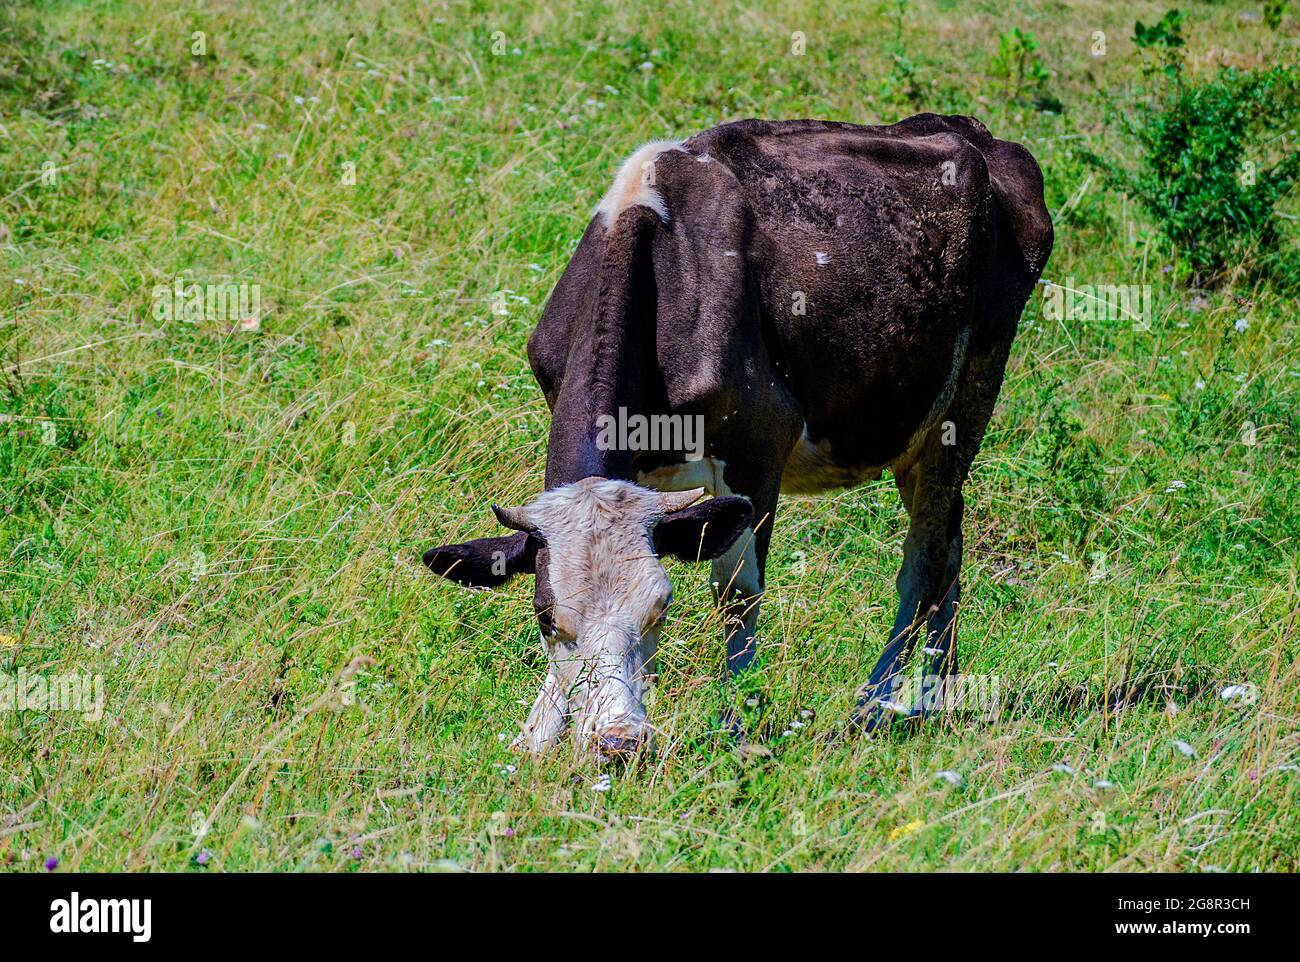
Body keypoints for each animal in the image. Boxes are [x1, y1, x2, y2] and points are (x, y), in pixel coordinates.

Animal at [423, 115, 1053, 759]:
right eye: (547, 618)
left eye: (660, 609)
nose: (620, 743)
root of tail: (972, 133)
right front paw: (538, 736)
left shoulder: (759, 443)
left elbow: (736, 592)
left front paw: (734, 725)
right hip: (914, 435)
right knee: (950, 544)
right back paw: (937, 694)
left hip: (968, 398)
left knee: (924, 557)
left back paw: (875, 706)